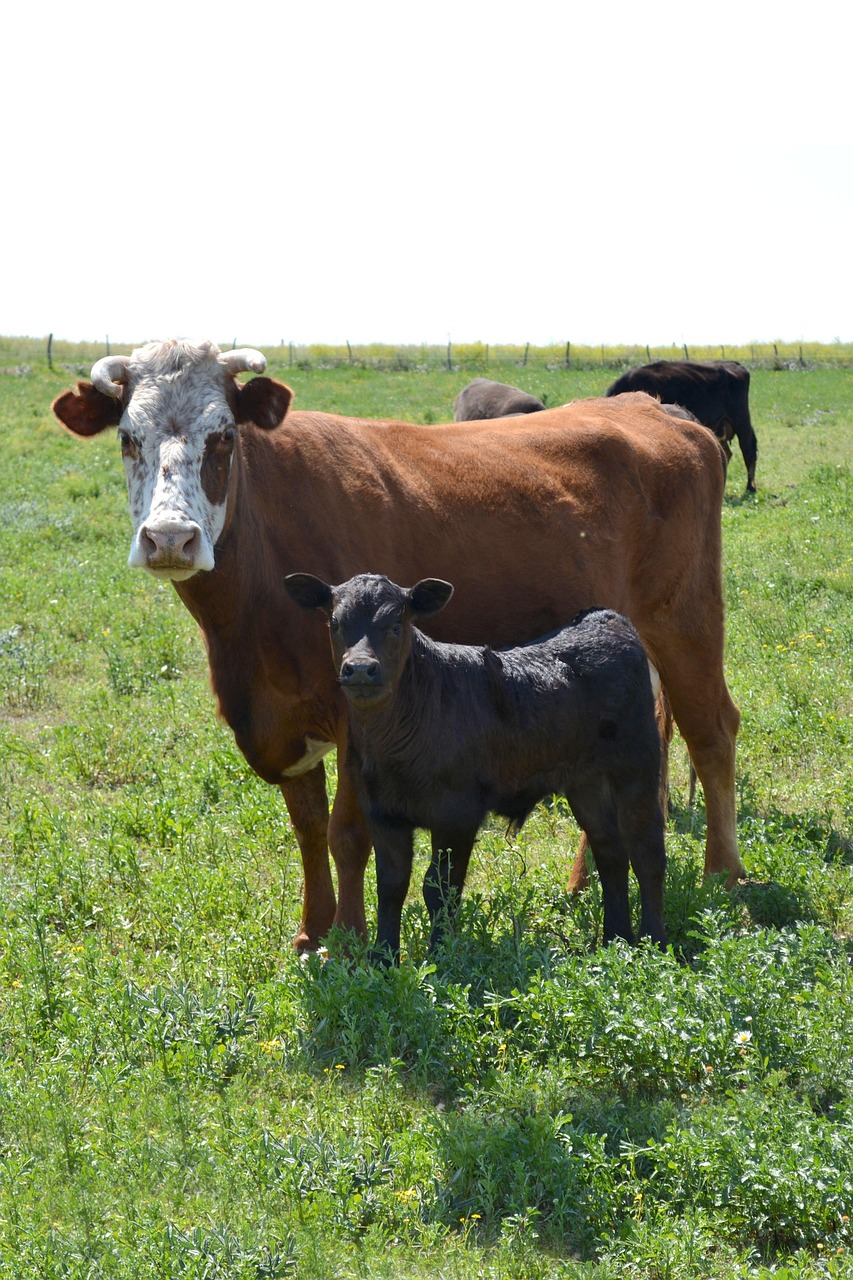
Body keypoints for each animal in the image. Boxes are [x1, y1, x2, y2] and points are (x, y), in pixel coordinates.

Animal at [283, 571, 668, 958]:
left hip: (637, 764)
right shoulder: (382, 813)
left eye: (395, 624)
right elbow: (391, 886)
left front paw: (440, 955)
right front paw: (382, 958)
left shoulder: (456, 814)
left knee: (646, 849)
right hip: (586, 781)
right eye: (335, 623)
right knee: (609, 848)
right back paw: (615, 940)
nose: (361, 669)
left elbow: (439, 889)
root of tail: (604, 619)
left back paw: (654, 942)